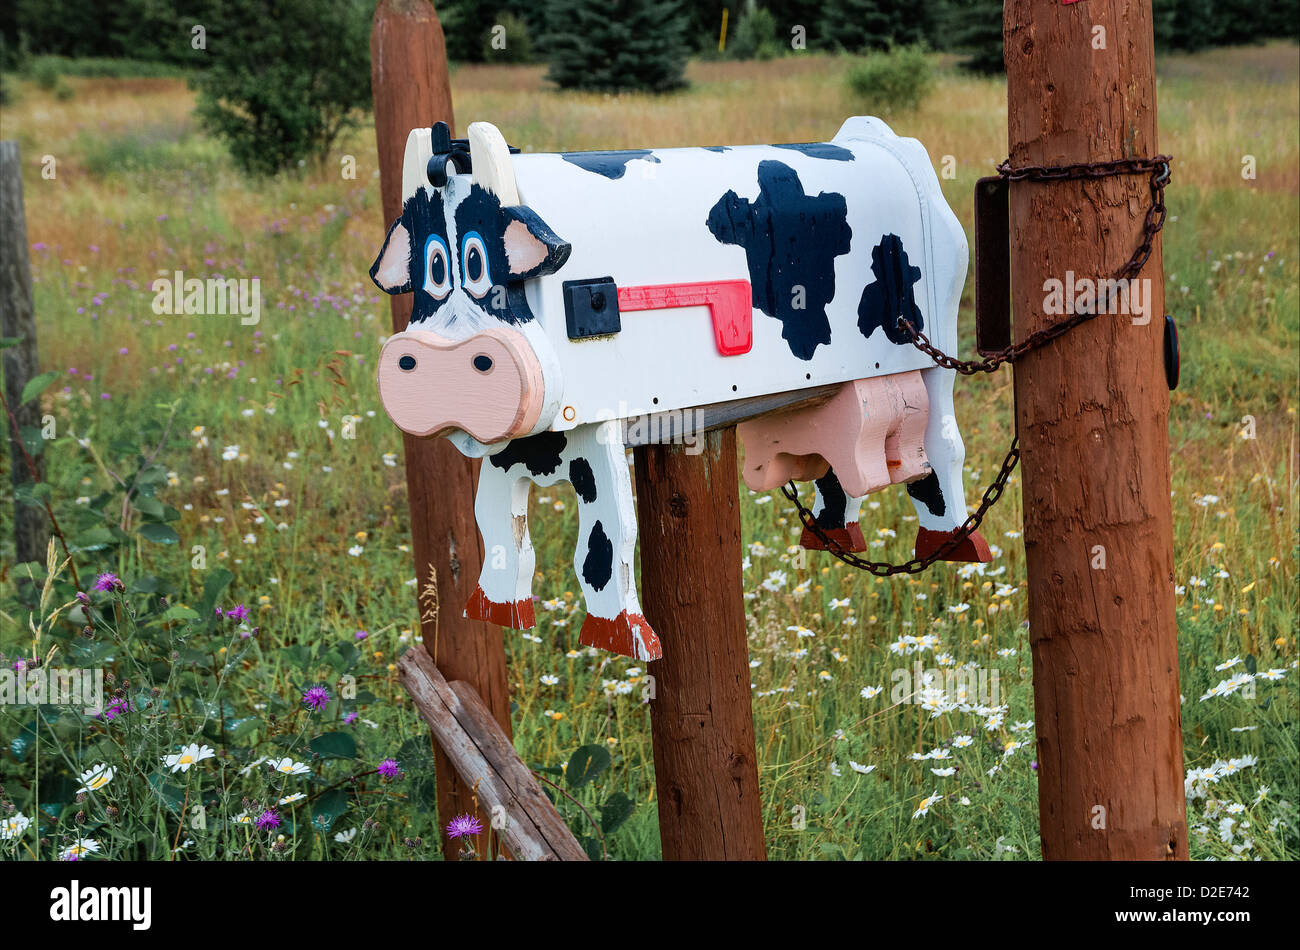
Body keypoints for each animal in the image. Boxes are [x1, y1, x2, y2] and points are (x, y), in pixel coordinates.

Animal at [371, 118, 990, 662]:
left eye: (481, 264)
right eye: (432, 270)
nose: (440, 362)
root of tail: (883, 143)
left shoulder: (594, 435)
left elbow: (608, 541)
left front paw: (620, 635)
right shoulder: (512, 453)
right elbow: (495, 526)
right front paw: (495, 608)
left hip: (934, 352)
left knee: (940, 452)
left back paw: (953, 543)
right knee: (843, 461)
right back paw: (833, 533)